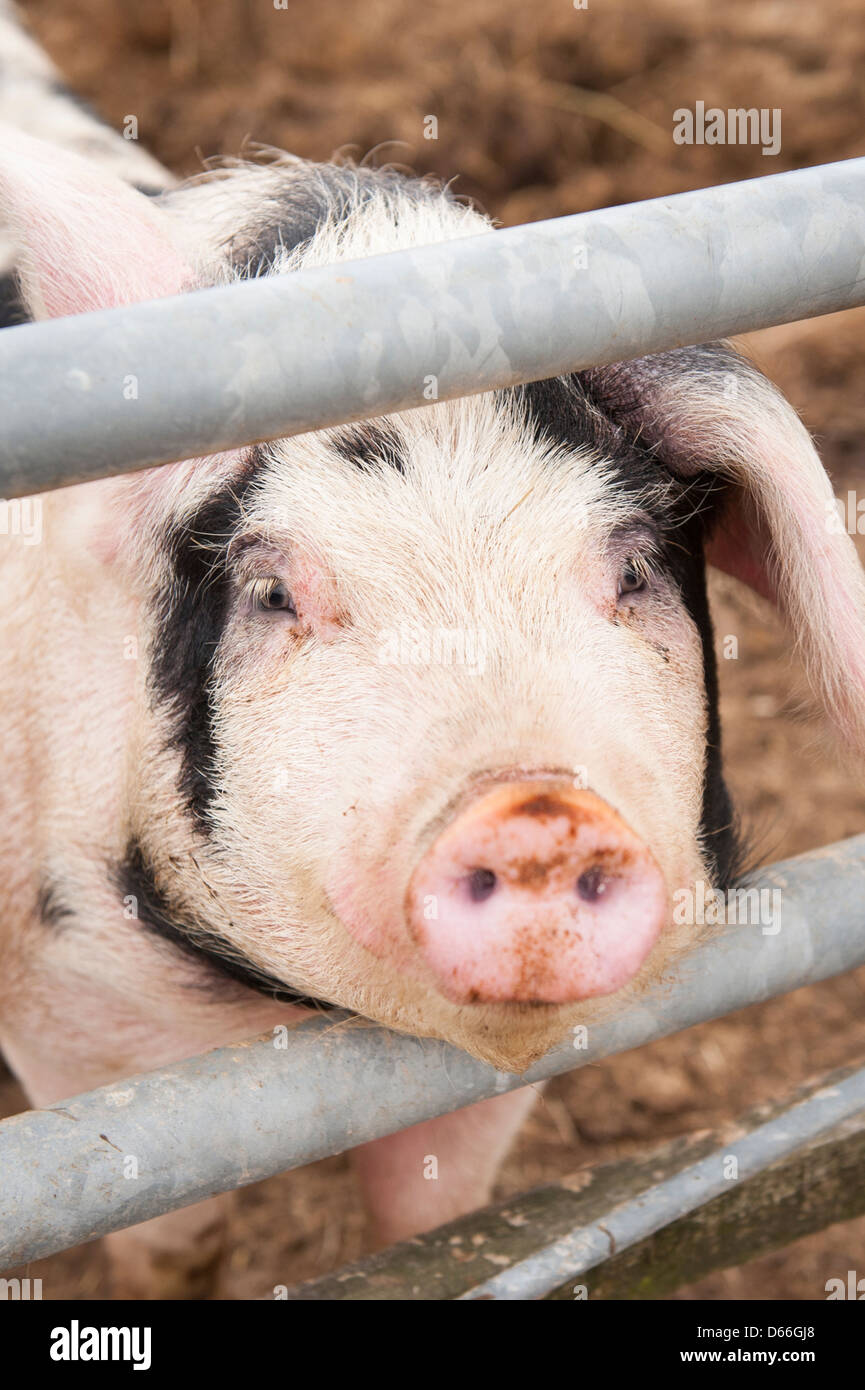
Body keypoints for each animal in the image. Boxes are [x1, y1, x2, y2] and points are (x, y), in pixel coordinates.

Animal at [2, 19, 865, 1299]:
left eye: (632, 570)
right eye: (273, 591)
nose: (538, 806)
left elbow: (437, 1201)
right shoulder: (71, 1014)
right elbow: (157, 1216)